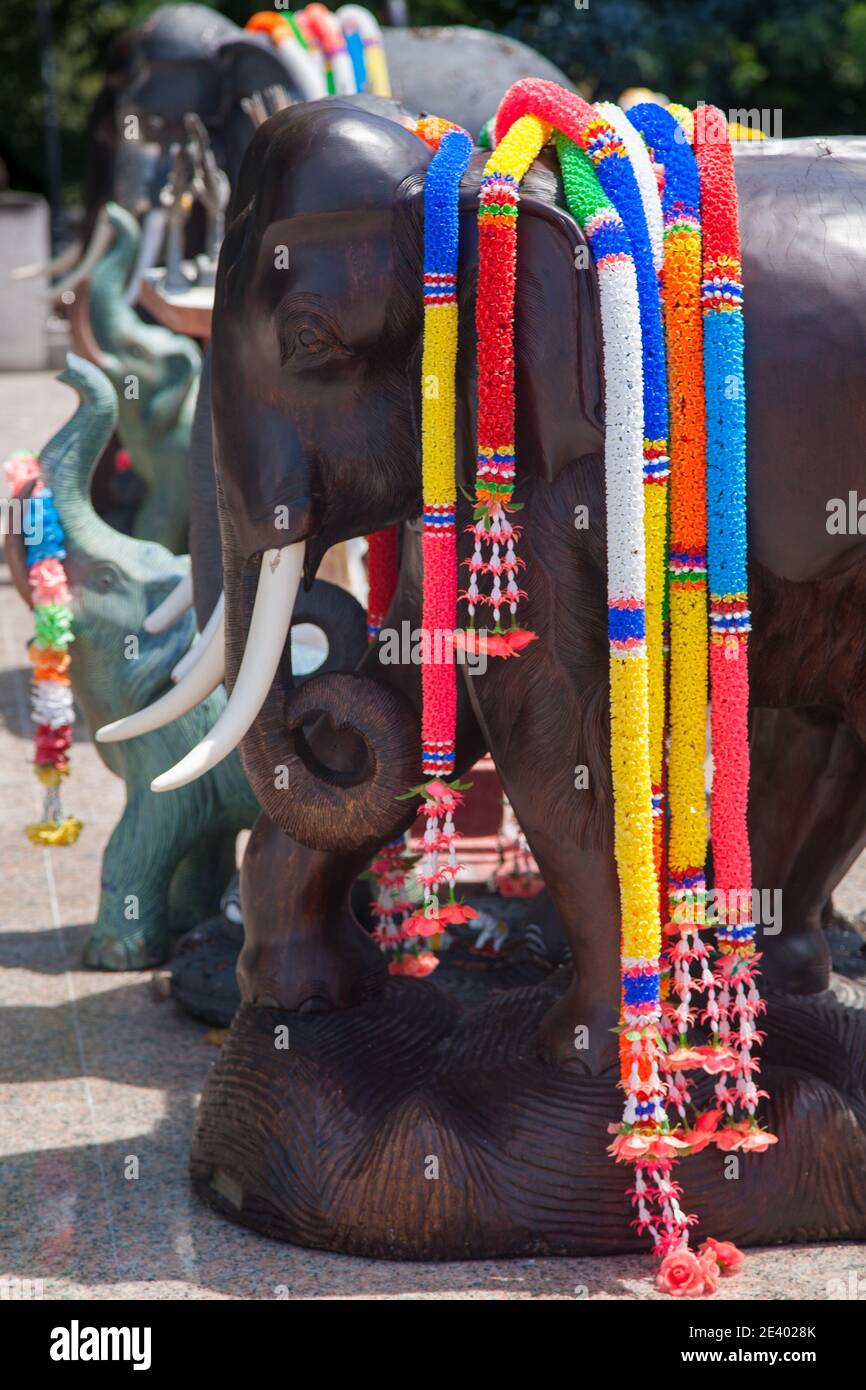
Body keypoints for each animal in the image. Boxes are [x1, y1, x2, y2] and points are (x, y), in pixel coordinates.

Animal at [144, 99, 866, 1258]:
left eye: (308, 342)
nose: (314, 691)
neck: (479, 174)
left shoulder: (570, 446)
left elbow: (545, 723)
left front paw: (592, 1066)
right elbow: (427, 667)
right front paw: (313, 1004)